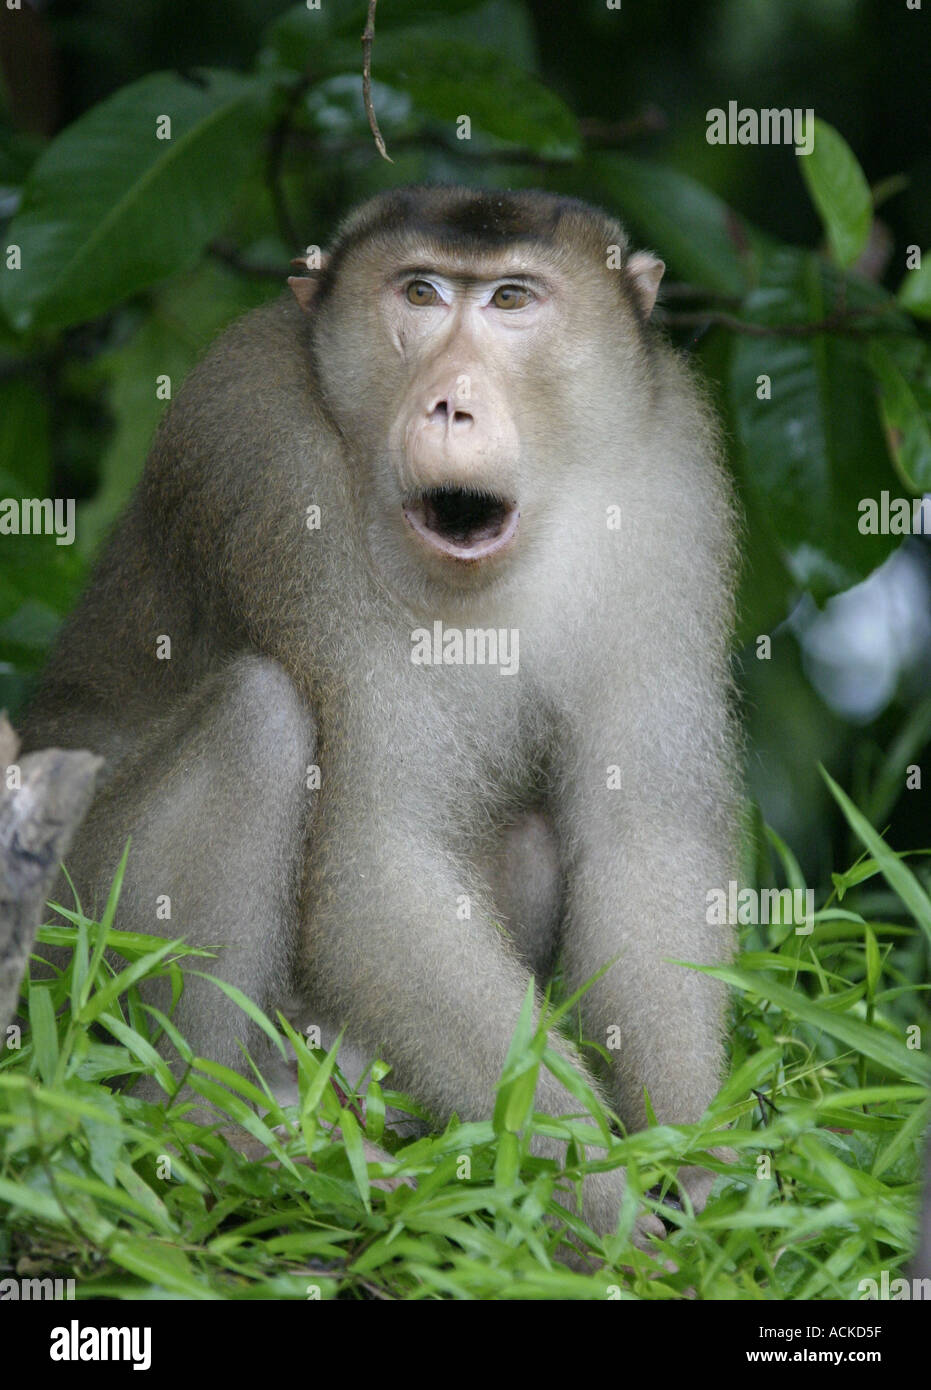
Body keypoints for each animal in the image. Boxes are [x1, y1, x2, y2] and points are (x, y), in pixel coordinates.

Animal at [21, 186, 740, 1253]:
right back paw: (204, 1120)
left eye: (512, 300)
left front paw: (697, 1169)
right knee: (259, 720)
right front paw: (602, 1207)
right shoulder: (270, 461)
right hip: (57, 942)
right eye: (421, 293)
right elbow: (373, 861)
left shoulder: (668, 478)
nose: (451, 403)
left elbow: (642, 839)